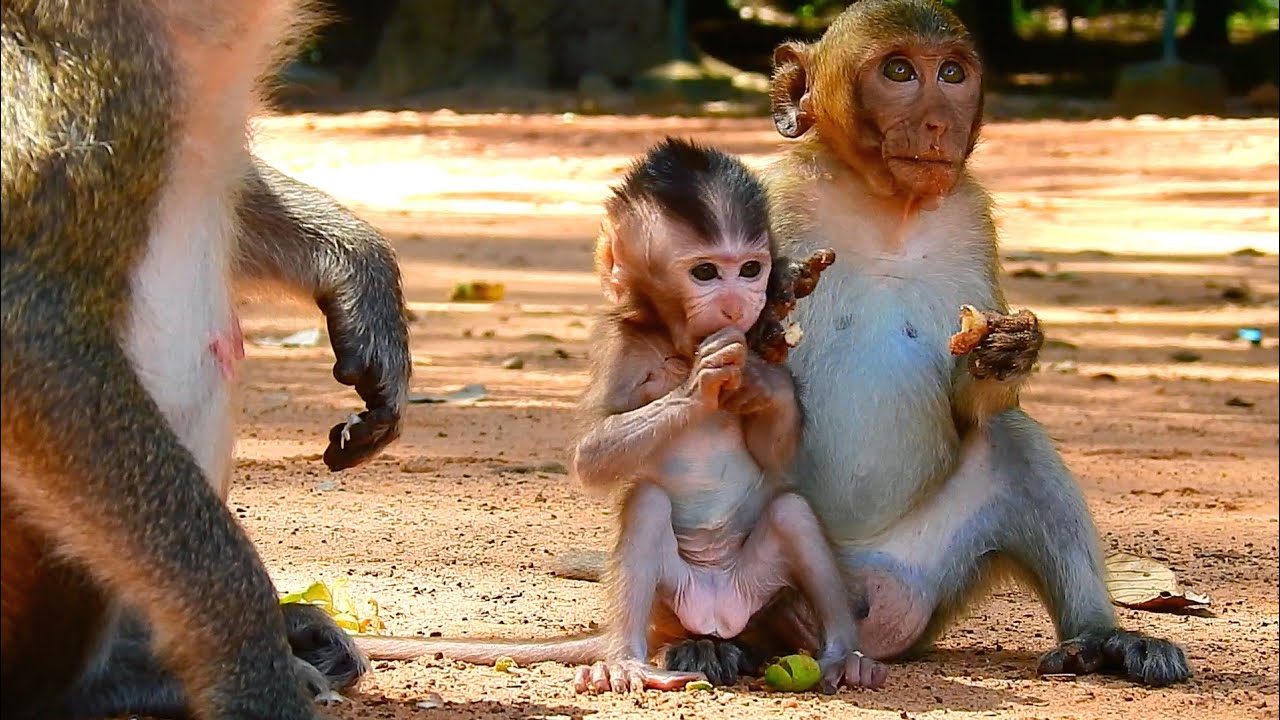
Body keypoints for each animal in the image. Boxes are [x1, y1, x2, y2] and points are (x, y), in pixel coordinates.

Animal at [353, 138, 886, 695]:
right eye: (705, 273)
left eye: (750, 269)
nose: (738, 304)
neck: (677, 343)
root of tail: (717, 607)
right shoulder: (621, 350)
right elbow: (591, 457)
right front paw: (698, 382)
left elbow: (780, 457)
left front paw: (761, 382)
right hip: (670, 600)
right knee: (647, 504)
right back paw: (629, 661)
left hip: (757, 590)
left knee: (791, 512)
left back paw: (843, 656)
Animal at [552, 0, 1193, 690]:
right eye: (899, 71)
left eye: (951, 73)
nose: (938, 120)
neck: (885, 208)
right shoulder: (775, 197)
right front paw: (769, 312)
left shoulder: (969, 216)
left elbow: (979, 407)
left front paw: (1006, 353)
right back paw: (704, 645)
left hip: (931, 577)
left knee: (1012, 438)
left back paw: (1100, 639)